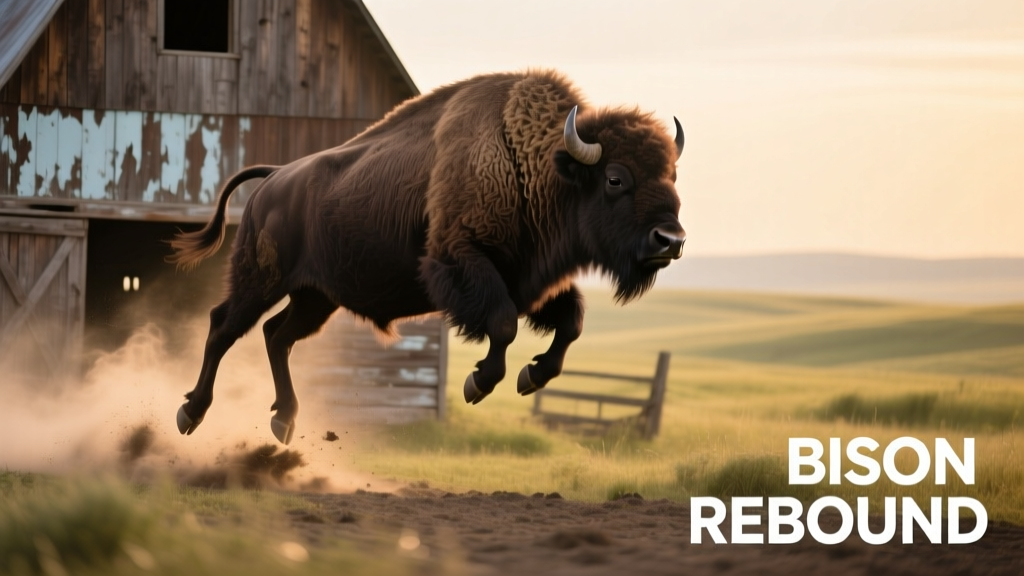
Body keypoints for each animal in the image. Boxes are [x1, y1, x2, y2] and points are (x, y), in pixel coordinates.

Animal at [169, 70, 685, 444]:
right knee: (224, 327)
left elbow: (570, 322)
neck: (534, 167)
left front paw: (531, 376)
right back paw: (190, 413)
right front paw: (479, 383)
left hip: (316, 297)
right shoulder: (462, 263)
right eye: (616, 178)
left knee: (278, 336)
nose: (672, 239)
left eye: (672, 174)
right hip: (261, 280)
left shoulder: (531, 283)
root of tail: (275, 178)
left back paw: (284, 421)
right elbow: (502, 324)